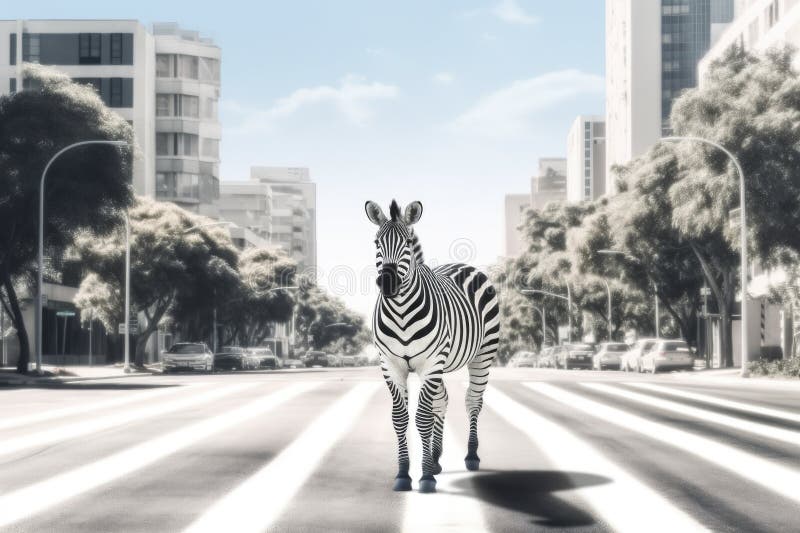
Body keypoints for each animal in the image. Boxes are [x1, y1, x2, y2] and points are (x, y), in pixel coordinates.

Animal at [365, 199, 500, 494]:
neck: (401, 312)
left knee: (472, 400)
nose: (388, 283)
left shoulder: (430, 363)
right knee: (442, 401)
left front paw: (425, 477)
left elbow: (422, 418)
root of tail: (461, 264)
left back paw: (471, 456)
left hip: (481, 356)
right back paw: (437, 458)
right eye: (376, 242)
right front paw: (404, 474)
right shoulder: (390, 365)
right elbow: (401, 418)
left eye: (406, 242)